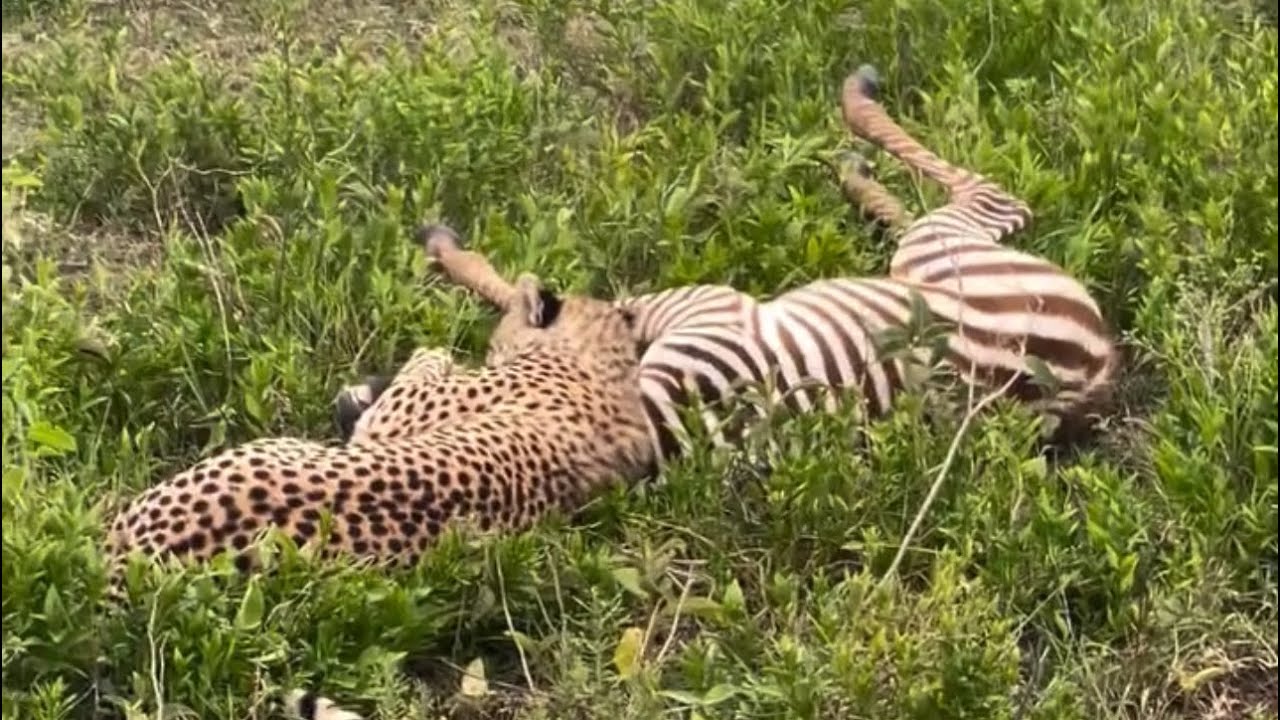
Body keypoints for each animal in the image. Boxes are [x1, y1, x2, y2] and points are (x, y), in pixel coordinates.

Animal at [336, 63, 1120, 468]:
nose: (350, 395)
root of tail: (1098, 370)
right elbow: (521, 296)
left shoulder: (694, 307)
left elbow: (514, 292)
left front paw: (450, 253)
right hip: (937, 255)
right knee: (963, 206)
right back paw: (854, 158)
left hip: (941, 253)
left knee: (989, 194)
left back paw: (855, 118)